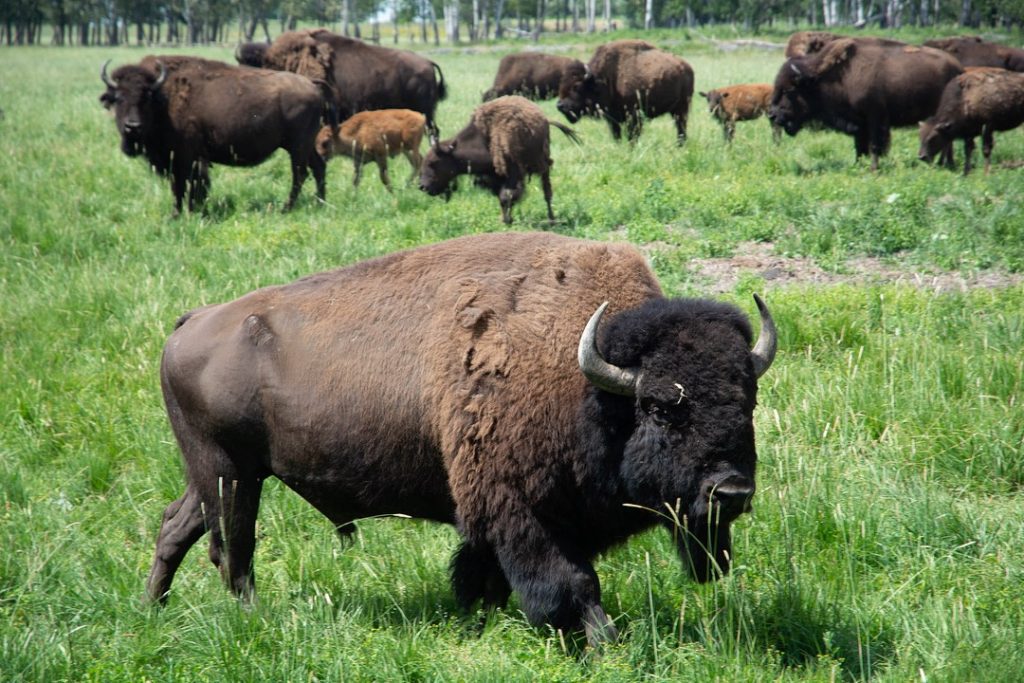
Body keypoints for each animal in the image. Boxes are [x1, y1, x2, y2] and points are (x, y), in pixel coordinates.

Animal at [100, 57, 334, 215]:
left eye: (146, 97)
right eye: (118, 98)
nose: (132, 126)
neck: (165, 99)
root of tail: (311, 83)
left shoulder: (185, 158)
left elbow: (186, 185)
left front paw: (184, 213)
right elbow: (186, 186)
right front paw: (186, 212)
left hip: (297, 146)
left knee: (300, 174)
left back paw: (286, 208)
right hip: (304, 145)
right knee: (318, 167)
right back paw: (319, 203)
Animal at [145, 231, 777, 648]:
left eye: (747, 401)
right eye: (660, 407)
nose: (731, 492)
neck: (589, 386)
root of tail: (192, 321)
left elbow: (484, 576)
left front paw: (479, 622)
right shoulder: (523, 512)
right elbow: (572, 583)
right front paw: (606, 646)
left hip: (222, 474)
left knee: (178, 525)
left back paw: (154, 608)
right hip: (230, 473)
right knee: (233, 547)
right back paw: (250, 619)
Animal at [419, 96, 580, 224]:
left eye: (433, 162)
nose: (422, 186)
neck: (484, 140)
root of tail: (545, 120)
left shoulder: (513, 175)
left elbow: (507, 196)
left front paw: (507, 220)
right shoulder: (495, 177)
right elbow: (502, 199)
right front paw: (504, 219)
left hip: (543, 165)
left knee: (547, 192)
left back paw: (552, 219)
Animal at [557, 40, 694, 144]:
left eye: (576, 86)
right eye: (562, 84)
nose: (560, 105)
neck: (604, 79)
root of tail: (686, 67)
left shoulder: (633, 116)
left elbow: (632, 136)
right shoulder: (612, 119)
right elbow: (617, 136)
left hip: (681, 108)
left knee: (681, 128)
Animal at [769, 38, 963, 170]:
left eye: (789, 90)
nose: (773, 115)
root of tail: (958, 68)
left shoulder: (875, 118)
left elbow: (874, 144)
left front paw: (873, 169)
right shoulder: (859, 123)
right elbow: (859, 146)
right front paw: (857, 165)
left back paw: (946, 164)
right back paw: (945, 164)